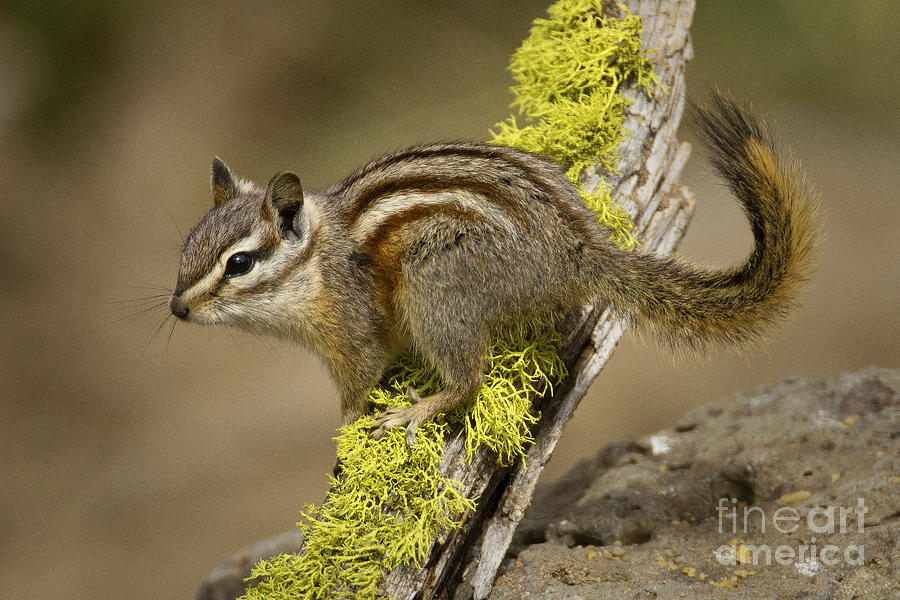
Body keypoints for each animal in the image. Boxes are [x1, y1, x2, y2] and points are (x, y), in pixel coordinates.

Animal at [170, 95, 816, 447]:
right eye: (183, 251)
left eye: (239, 263)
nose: (178, 307)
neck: (316, 264)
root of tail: (577, 251)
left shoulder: (354, 330)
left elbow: (360, 383)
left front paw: (347, 428)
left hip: (435, 281)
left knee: (468, 380)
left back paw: (415, 410)